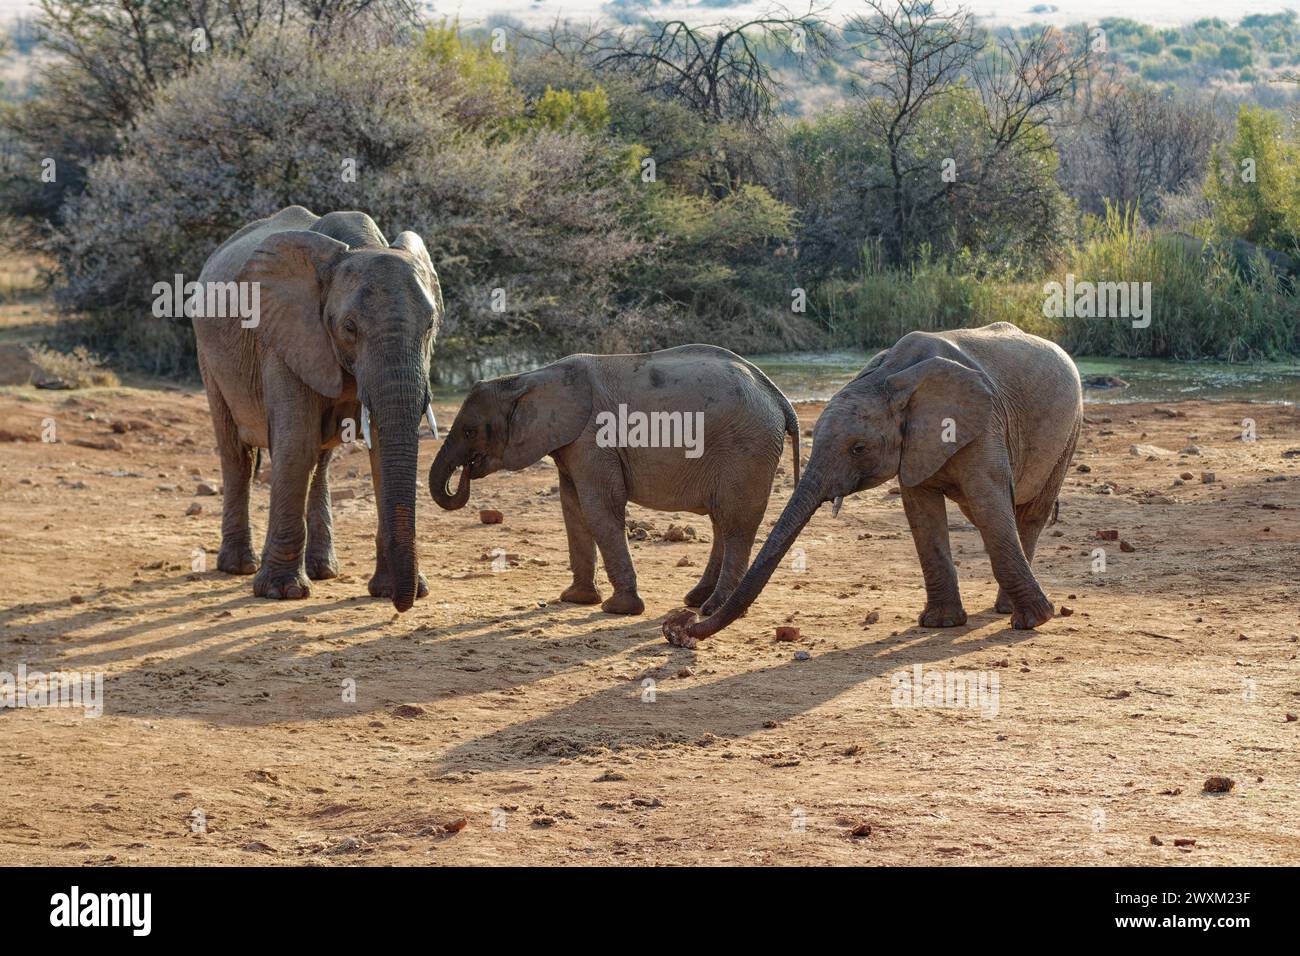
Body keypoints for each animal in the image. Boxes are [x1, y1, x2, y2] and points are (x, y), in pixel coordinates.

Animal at [192, 205, 442, 611]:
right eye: (349, 328)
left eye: (431, 325)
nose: (402, 606)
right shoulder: (284, 335)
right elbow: (295, 444)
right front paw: (282, 593)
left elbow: (378, 450)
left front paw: (394, 589)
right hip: (208, 356)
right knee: (238, 454)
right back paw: (239, 567)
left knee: (319, 461)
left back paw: (324, 570)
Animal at [428, 345, 801, 615]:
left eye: (469, 431)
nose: (466, 472)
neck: (526, 378)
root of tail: (779, 397)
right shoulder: (572, 443)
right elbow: (573, 510)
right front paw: (576, 598)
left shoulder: (593, 437)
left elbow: (600, 509)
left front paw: (618, 609)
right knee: (721, 520)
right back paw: (696, 600)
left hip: (746, 449)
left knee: (734, 524)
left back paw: (713, 609)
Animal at [664, 322, 1082, 648]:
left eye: (858, 448)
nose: (680, 624)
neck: (891, 376)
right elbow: (921, 511)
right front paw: (940, 623)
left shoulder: (984, 424)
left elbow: (987, 501)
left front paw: (1034, 622)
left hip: (1070, 431)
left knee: (1029, 514)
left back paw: (1014, 613)